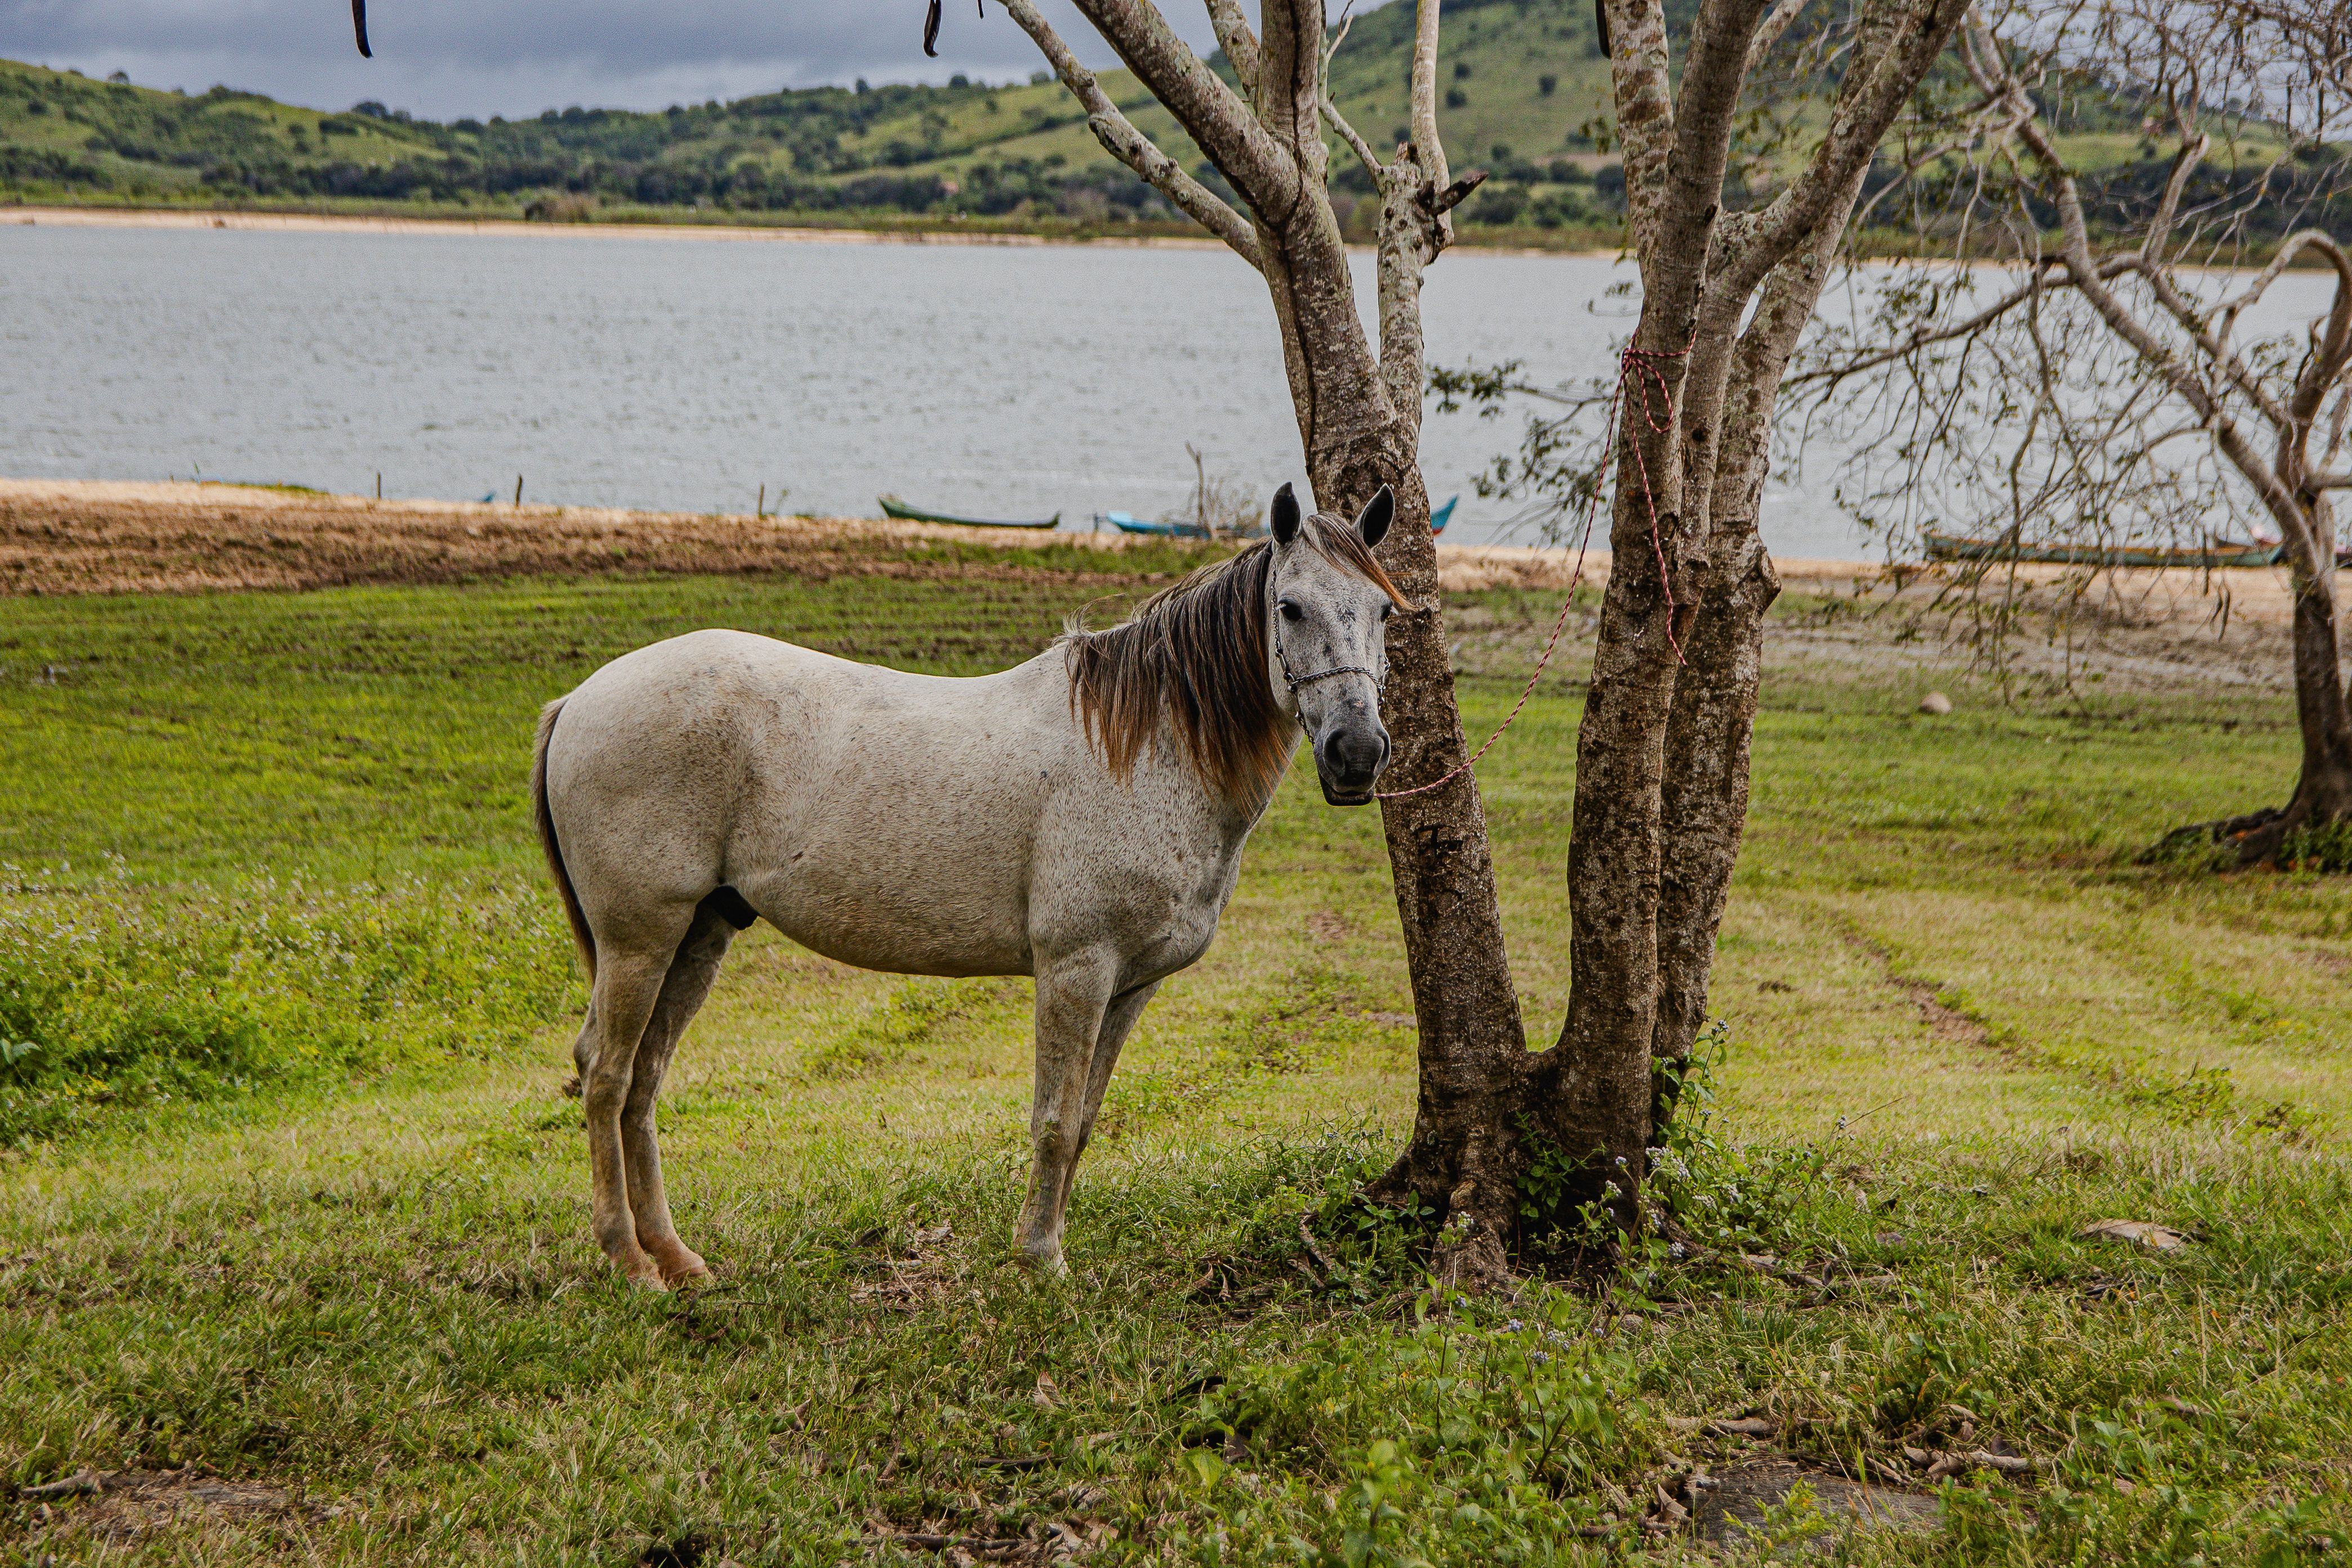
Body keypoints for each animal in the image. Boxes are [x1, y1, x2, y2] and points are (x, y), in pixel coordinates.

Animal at [530, 483, 1405, 1285]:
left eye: (1384, 613)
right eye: (1289, 608)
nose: (1356, 753)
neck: (1144, 747)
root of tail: (579, 699)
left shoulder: (1132, 985)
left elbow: (1085, 1120)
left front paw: (1048, 1249)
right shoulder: (1076, 968)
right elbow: (1053, 1122)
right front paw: (1040, 1264)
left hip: (699, 934)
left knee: (643, 1082)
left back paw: (676, 1259)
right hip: (640, 939)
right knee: (605, 1077)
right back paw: (629, 1262)